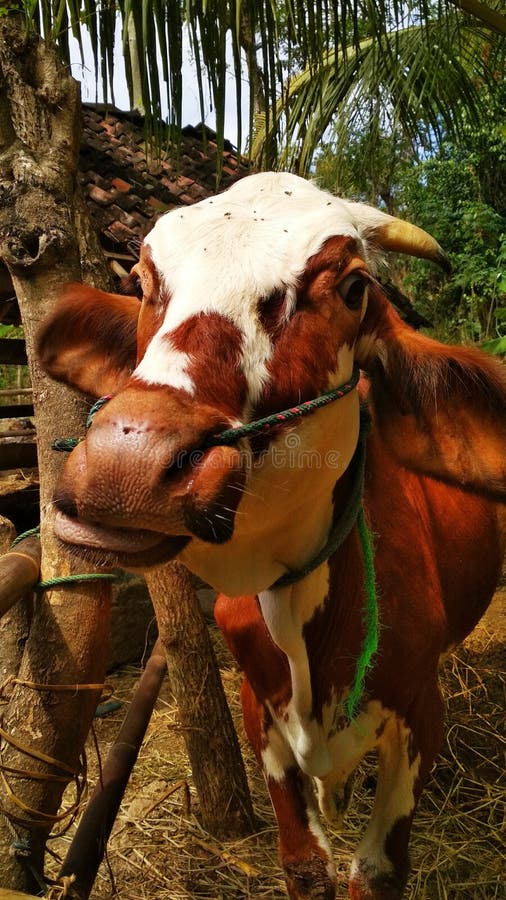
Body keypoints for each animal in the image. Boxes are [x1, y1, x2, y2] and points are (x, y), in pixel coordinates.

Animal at [36, 172, 505, 900]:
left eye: (354, 287)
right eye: (141, 281)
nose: (127, 462)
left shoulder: (420, 715)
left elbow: (374, 873)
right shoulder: (260, 709)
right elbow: (304, 862)